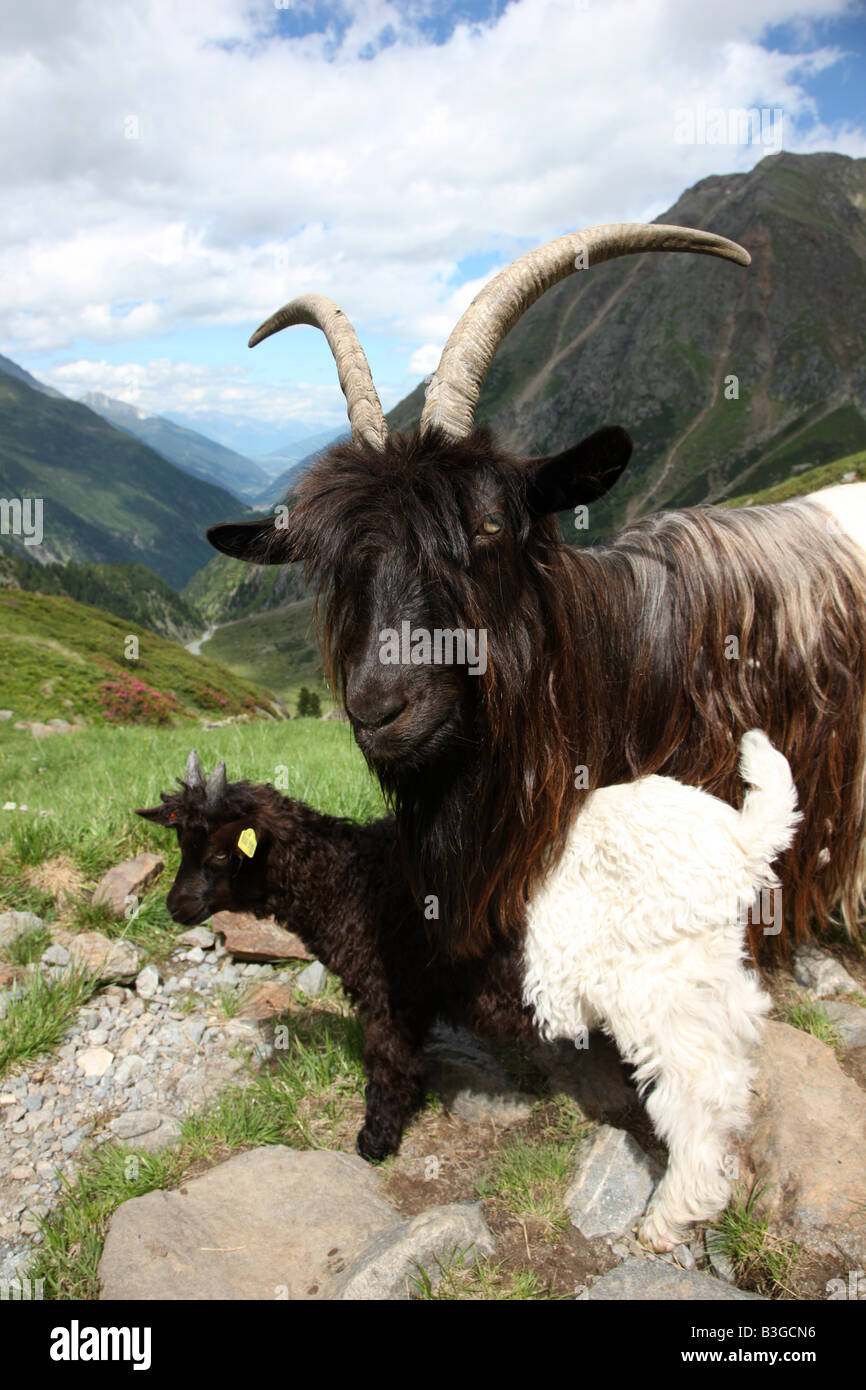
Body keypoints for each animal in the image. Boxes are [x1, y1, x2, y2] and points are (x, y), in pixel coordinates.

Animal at [138, 733, 798, 1250]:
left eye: (222, 853)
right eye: (182, 845)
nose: (176, 908)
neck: (355, 877)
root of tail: (741, 842)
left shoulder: (390, 992)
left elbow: (389, 1061)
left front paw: (376, 1140)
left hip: (656, 984)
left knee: (697, 1089)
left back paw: (673, 1213)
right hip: (706, 973)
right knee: (733, 1062)